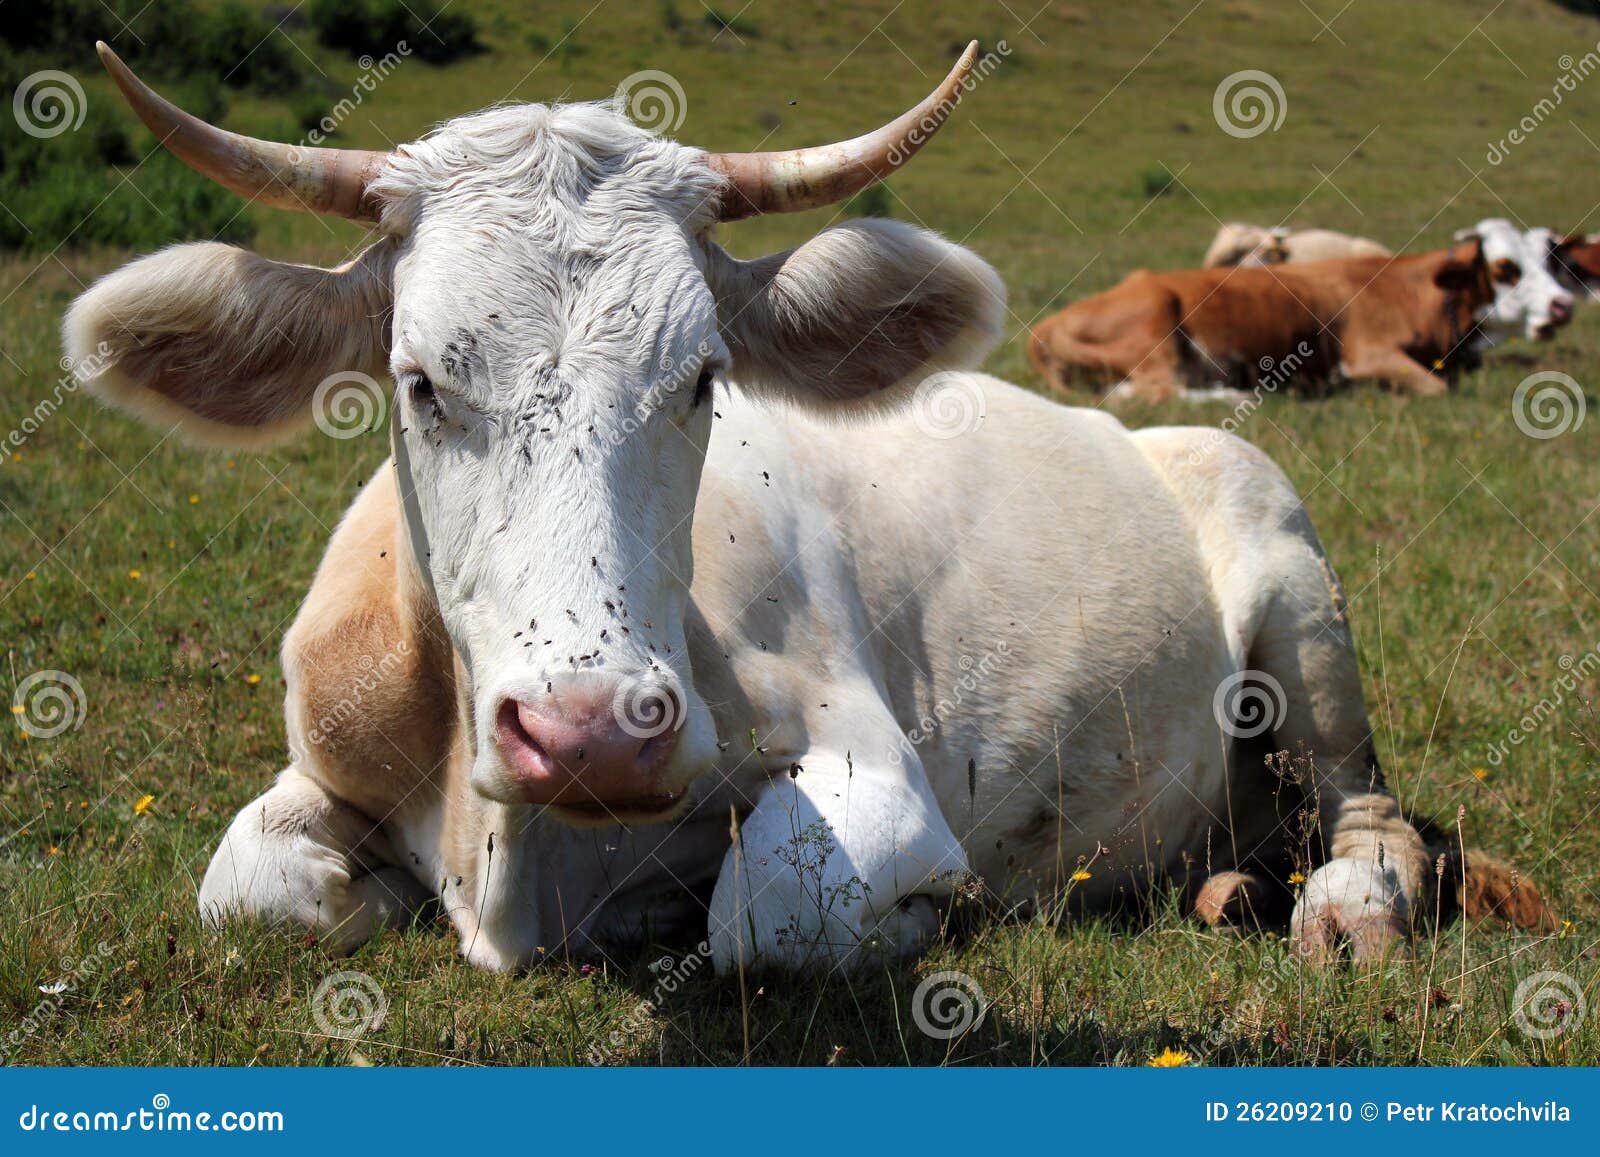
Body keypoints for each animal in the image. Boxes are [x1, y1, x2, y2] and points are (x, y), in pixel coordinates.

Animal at [1029, 220, 1574, 405]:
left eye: (1548, 260)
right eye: (1506, 268)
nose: (1563, 304)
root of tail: (1043, 327)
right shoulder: (1368, 353)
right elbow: (1435, 388)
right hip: (1156, 324)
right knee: (1151, 392)